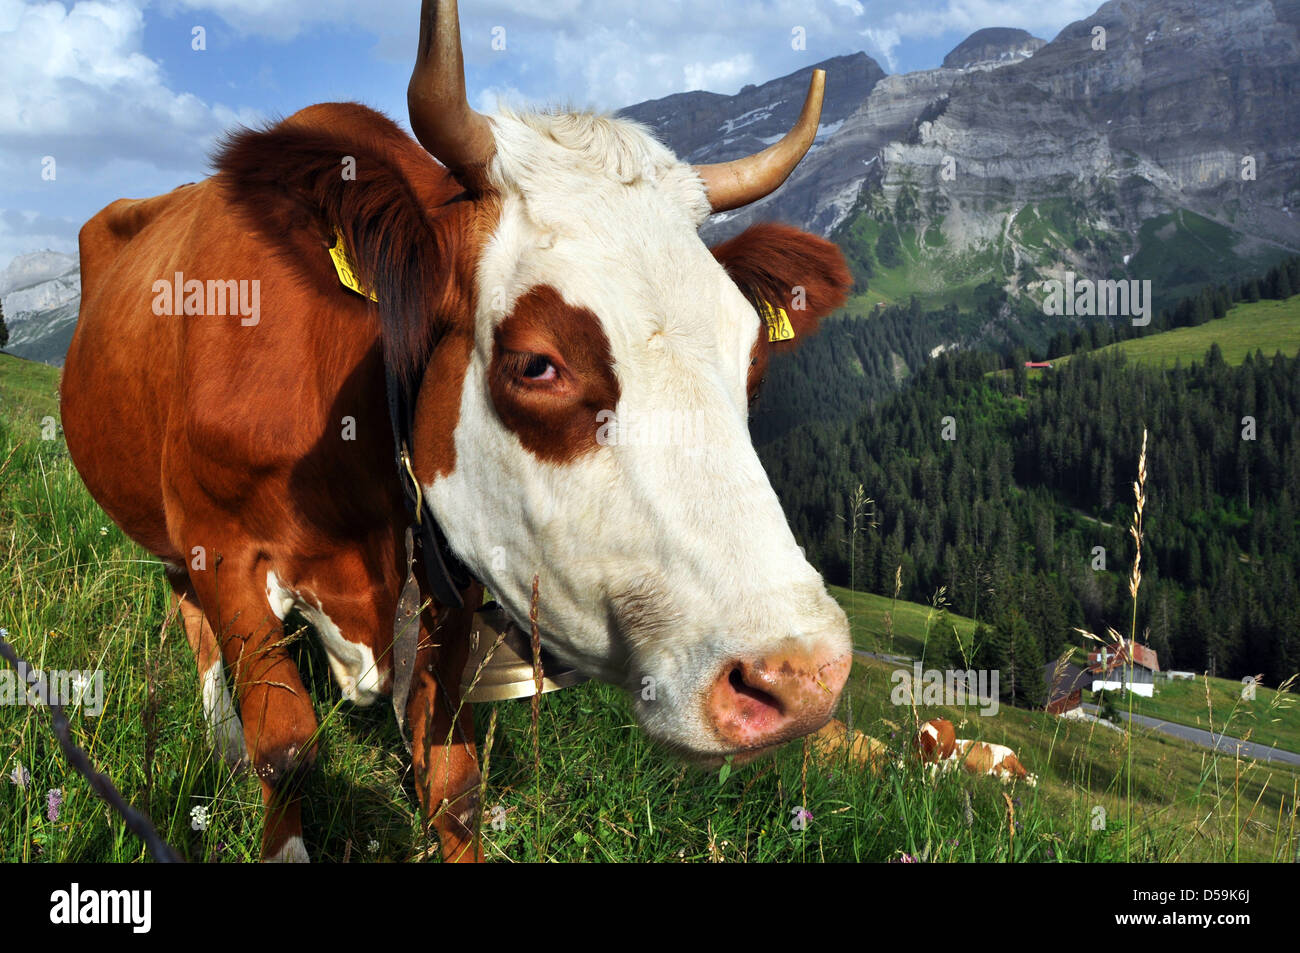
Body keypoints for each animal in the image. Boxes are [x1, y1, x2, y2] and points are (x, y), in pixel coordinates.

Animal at [60, 0, 854, 862]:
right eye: (537, 362)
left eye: (753, 360)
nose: (799, 674)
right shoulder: (225, 546)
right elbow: (288, 748)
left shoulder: (450, 579)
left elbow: (453, 781)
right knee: (194, 623)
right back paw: (224, 745)